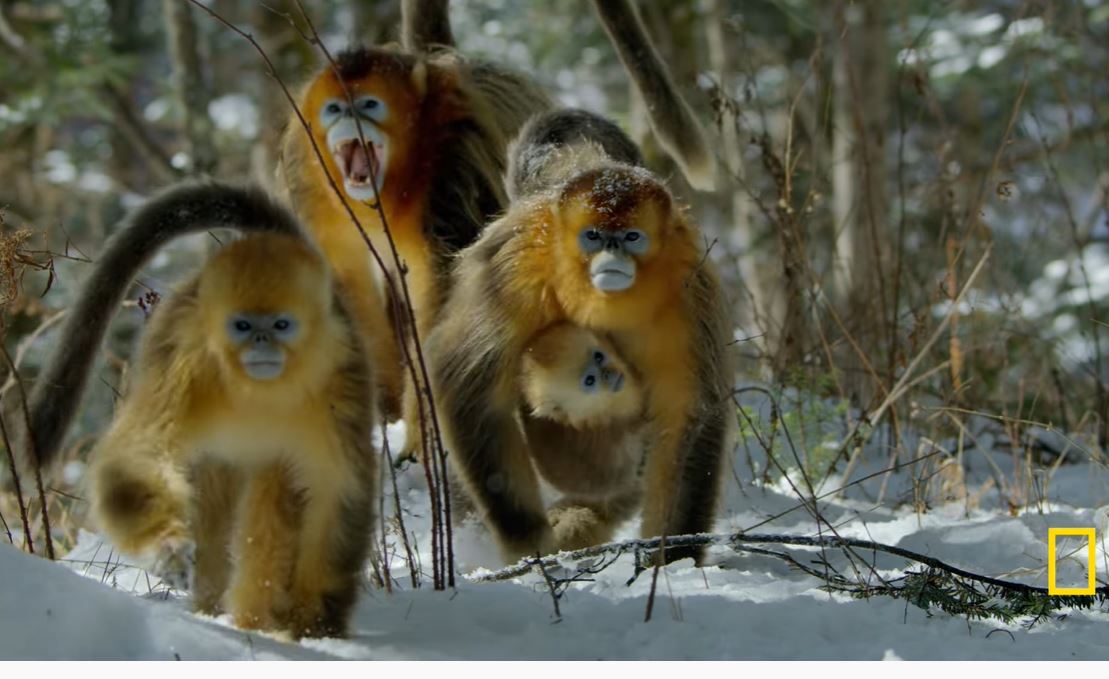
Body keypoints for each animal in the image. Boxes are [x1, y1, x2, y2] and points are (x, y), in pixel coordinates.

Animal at [23, 183, 378, 638]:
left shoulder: (342, 373)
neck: (258, 390)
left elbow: (337, 491)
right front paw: (167, 549)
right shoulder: (187, 364)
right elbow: (138, 455)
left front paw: (315, 624)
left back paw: (253, 619)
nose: (261, 343)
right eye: (242, 326)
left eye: (281, 325)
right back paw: (216, 612)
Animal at [279, 41, 553, 459]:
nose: (349, 116)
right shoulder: (308, 176)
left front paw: (420, 438)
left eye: (368, 105)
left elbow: (443, 288)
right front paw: (382, 413)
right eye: (335, 109)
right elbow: (345, 282)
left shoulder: (456, 159)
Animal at [428, 109, 735, 564]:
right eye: (593, 236)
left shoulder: (687, 281)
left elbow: (689, 411)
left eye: (631, 238)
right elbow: (472, 392)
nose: (611, 257)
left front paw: (672, 559)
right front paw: (530, 547)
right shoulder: (519, 263)